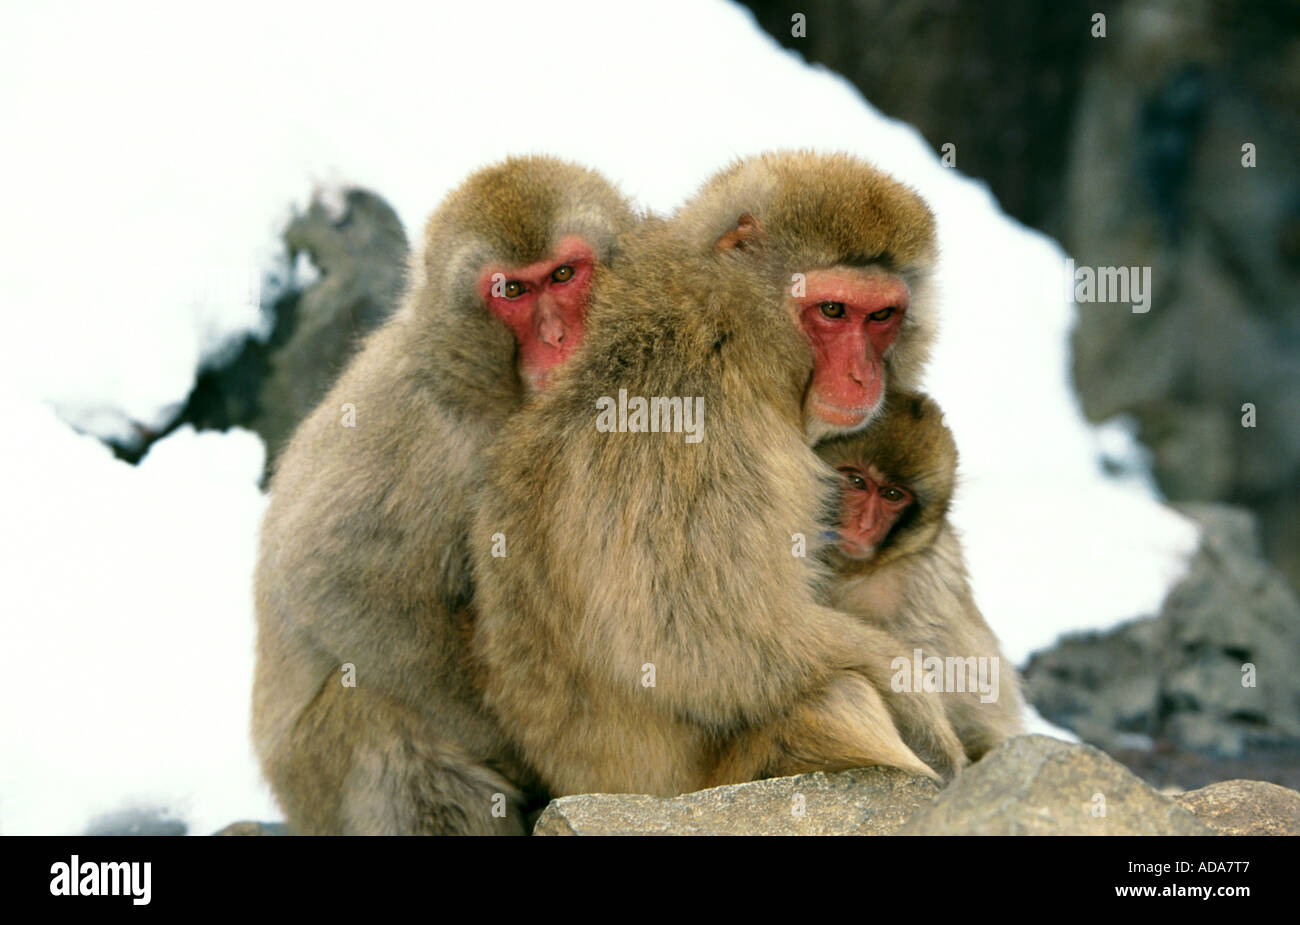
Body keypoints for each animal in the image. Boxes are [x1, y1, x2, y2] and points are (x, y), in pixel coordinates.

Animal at [251, 156, 638, 834]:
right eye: (512, 293)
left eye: (563, 275)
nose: (557, 337)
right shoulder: (430, 431)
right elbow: (328, 575)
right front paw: (511, 746)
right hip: (313, 773)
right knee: (391, 730)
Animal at [471, 151, 959, 799]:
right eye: (832, 311)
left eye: (881, 316)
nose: (862, 376)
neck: (727, 325)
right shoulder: (695, 429)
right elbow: (696, 643)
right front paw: (915, 699)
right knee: (835, 695)